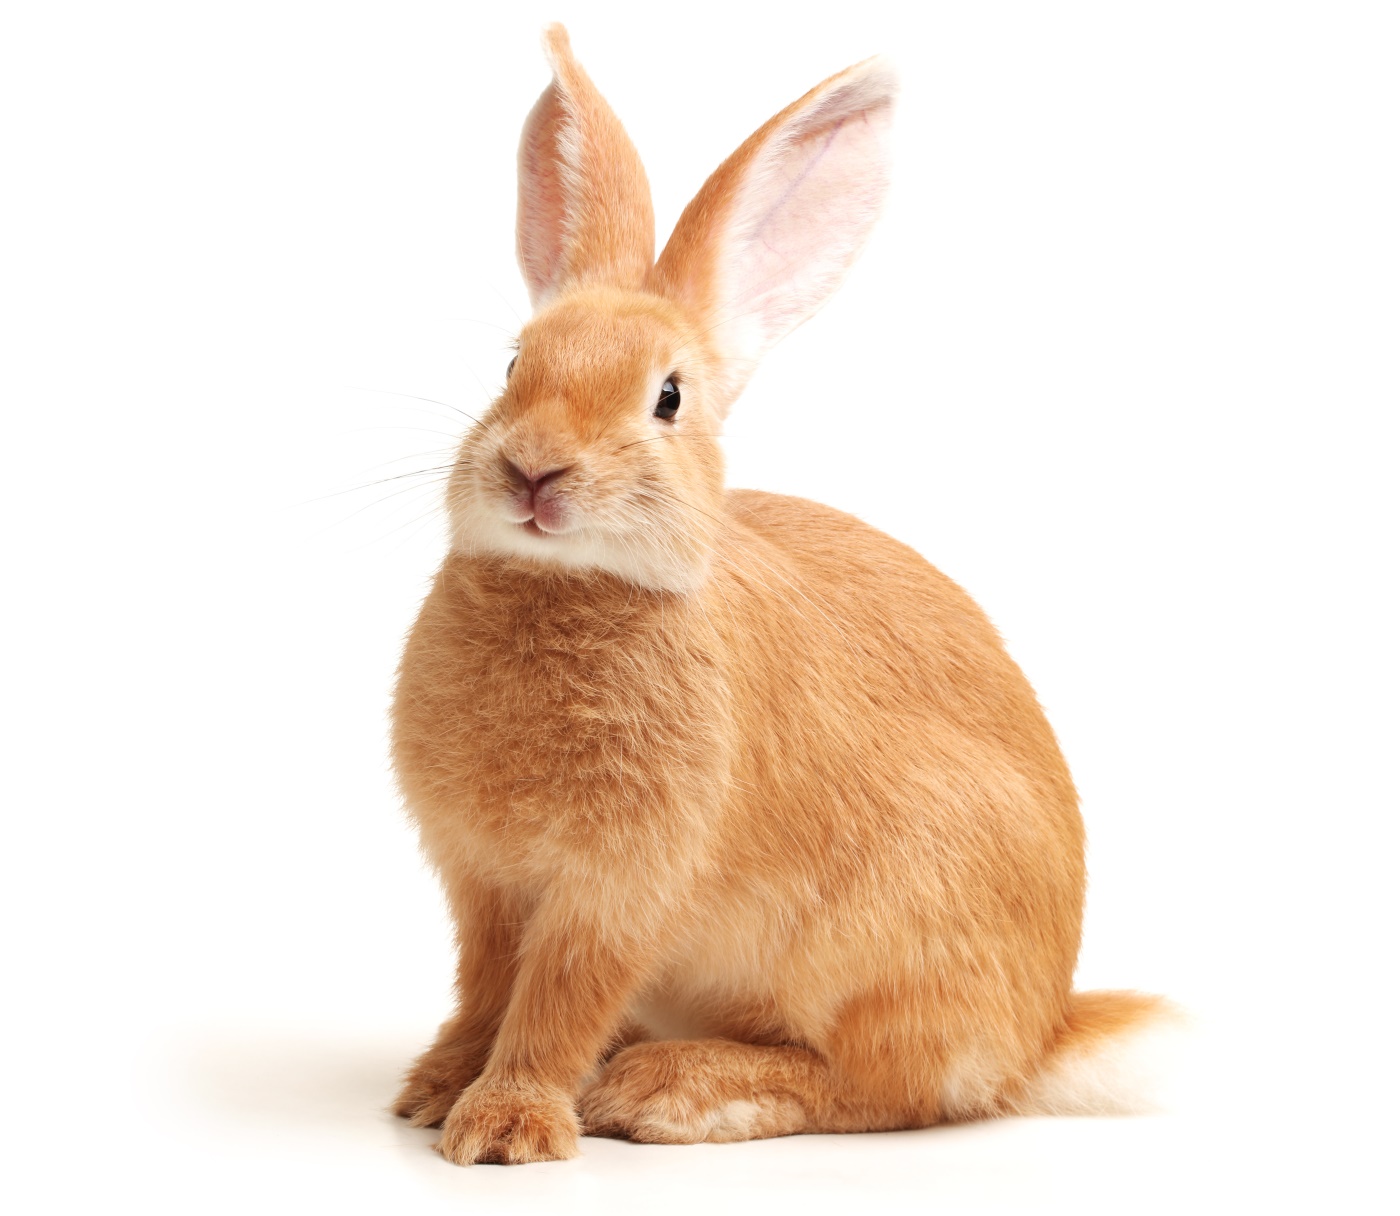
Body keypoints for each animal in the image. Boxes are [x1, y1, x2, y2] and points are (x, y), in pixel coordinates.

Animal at [389, 24, 1174, 1166]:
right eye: (512, 367)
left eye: (668, 399)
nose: (534, 470)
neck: (566, 587)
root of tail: (1040, 1028)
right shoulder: (485, 885)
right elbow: (486, 989)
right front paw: (435, 1088)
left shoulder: (619, 889)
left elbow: (554, 1002)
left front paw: (504, 1128)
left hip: (893, 940)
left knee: (884, 1086)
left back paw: (675, 1088)